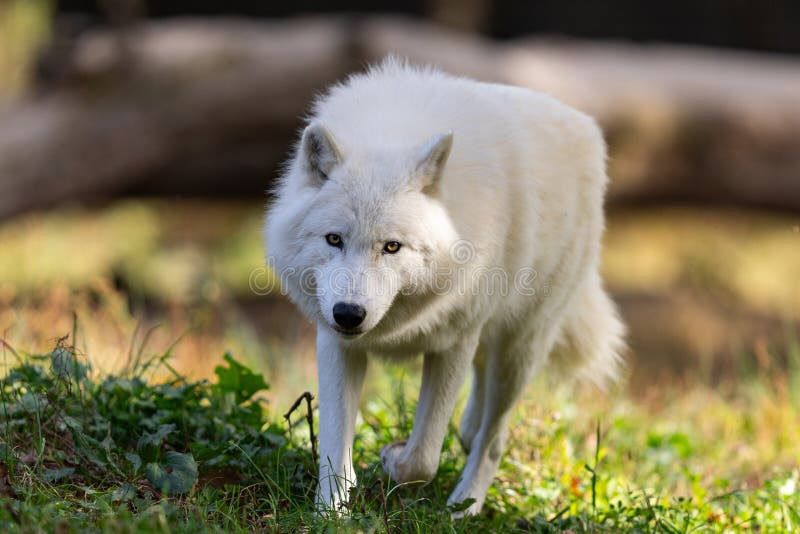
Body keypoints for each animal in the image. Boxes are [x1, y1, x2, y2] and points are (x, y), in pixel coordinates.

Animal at [264, 58, 625, 517]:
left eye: (392, 246)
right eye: (334, 239)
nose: (349, 314)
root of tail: (584, 124)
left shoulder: (454, 342)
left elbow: (421, 461)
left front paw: (391, 458)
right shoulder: (337, 344)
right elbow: (333, 448)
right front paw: (331, 513)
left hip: (520, 351)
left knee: (495, 438)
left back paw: (465, 505)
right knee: (480, 416)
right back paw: (467, 437)